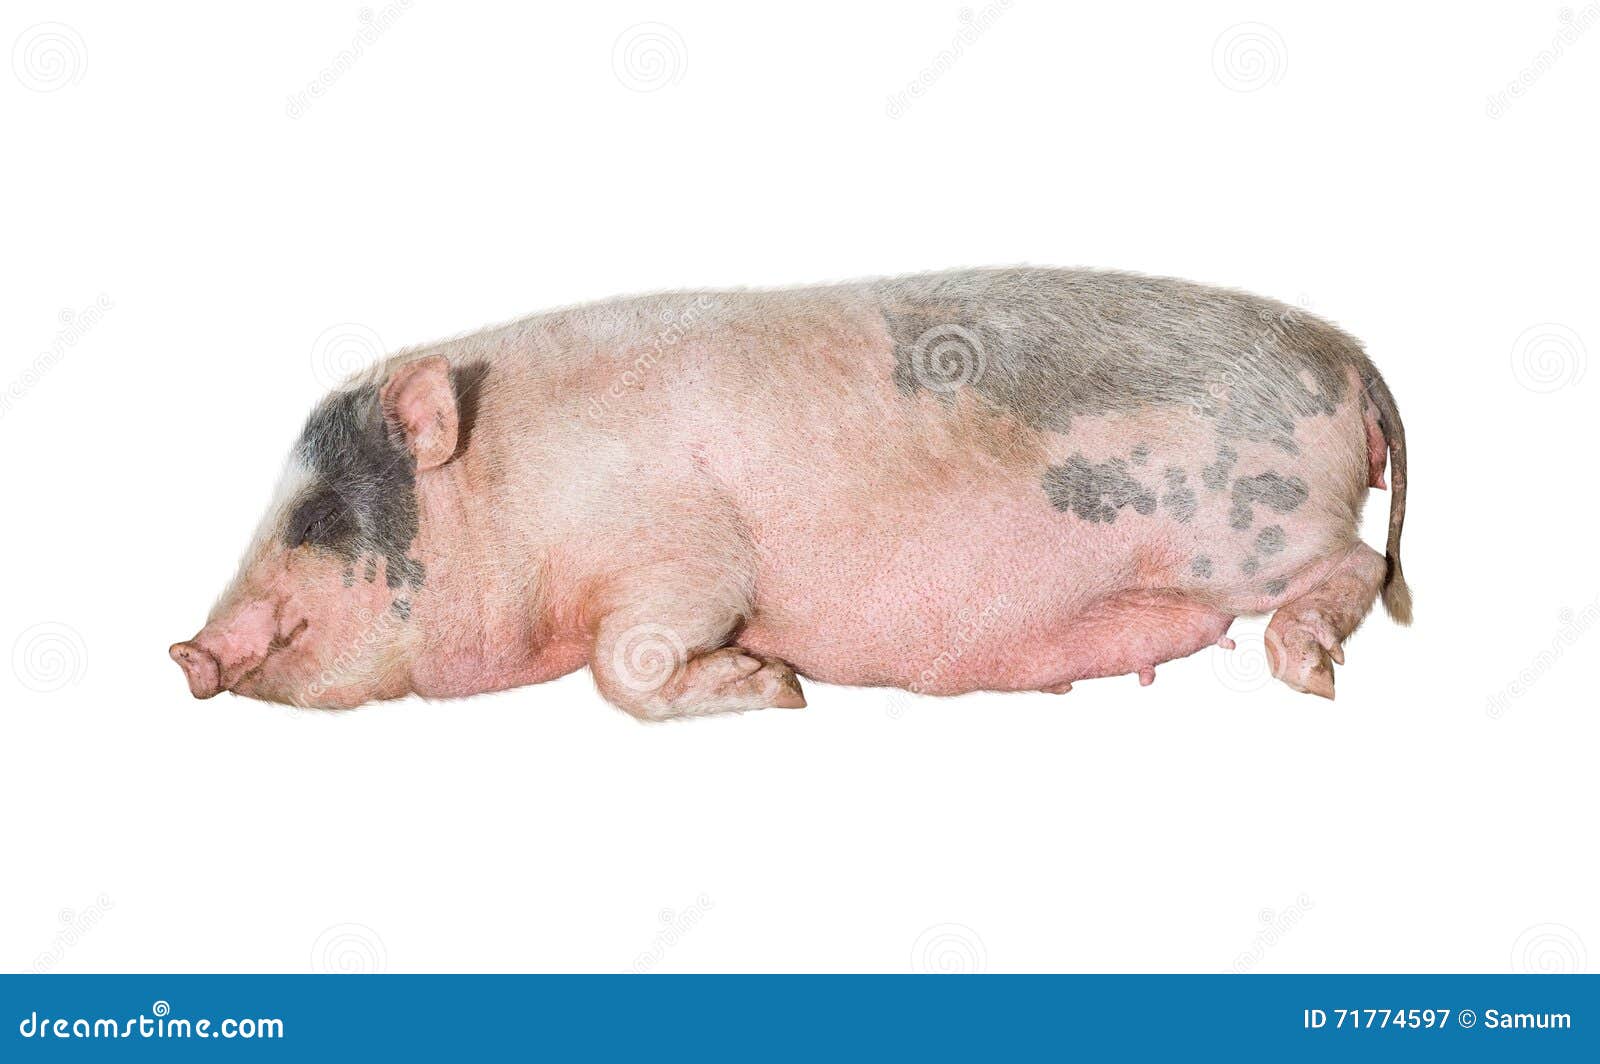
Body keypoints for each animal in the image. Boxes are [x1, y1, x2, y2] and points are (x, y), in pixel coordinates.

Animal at [170, 267, 1410, 717]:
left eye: (318, 514)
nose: (185, 649)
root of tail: (1350, 356)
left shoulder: (681, 558)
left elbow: (623, 667)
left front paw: (776, 687)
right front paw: (772, 681)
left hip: (1253, 528)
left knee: (1363, 563)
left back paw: (1307, 674)